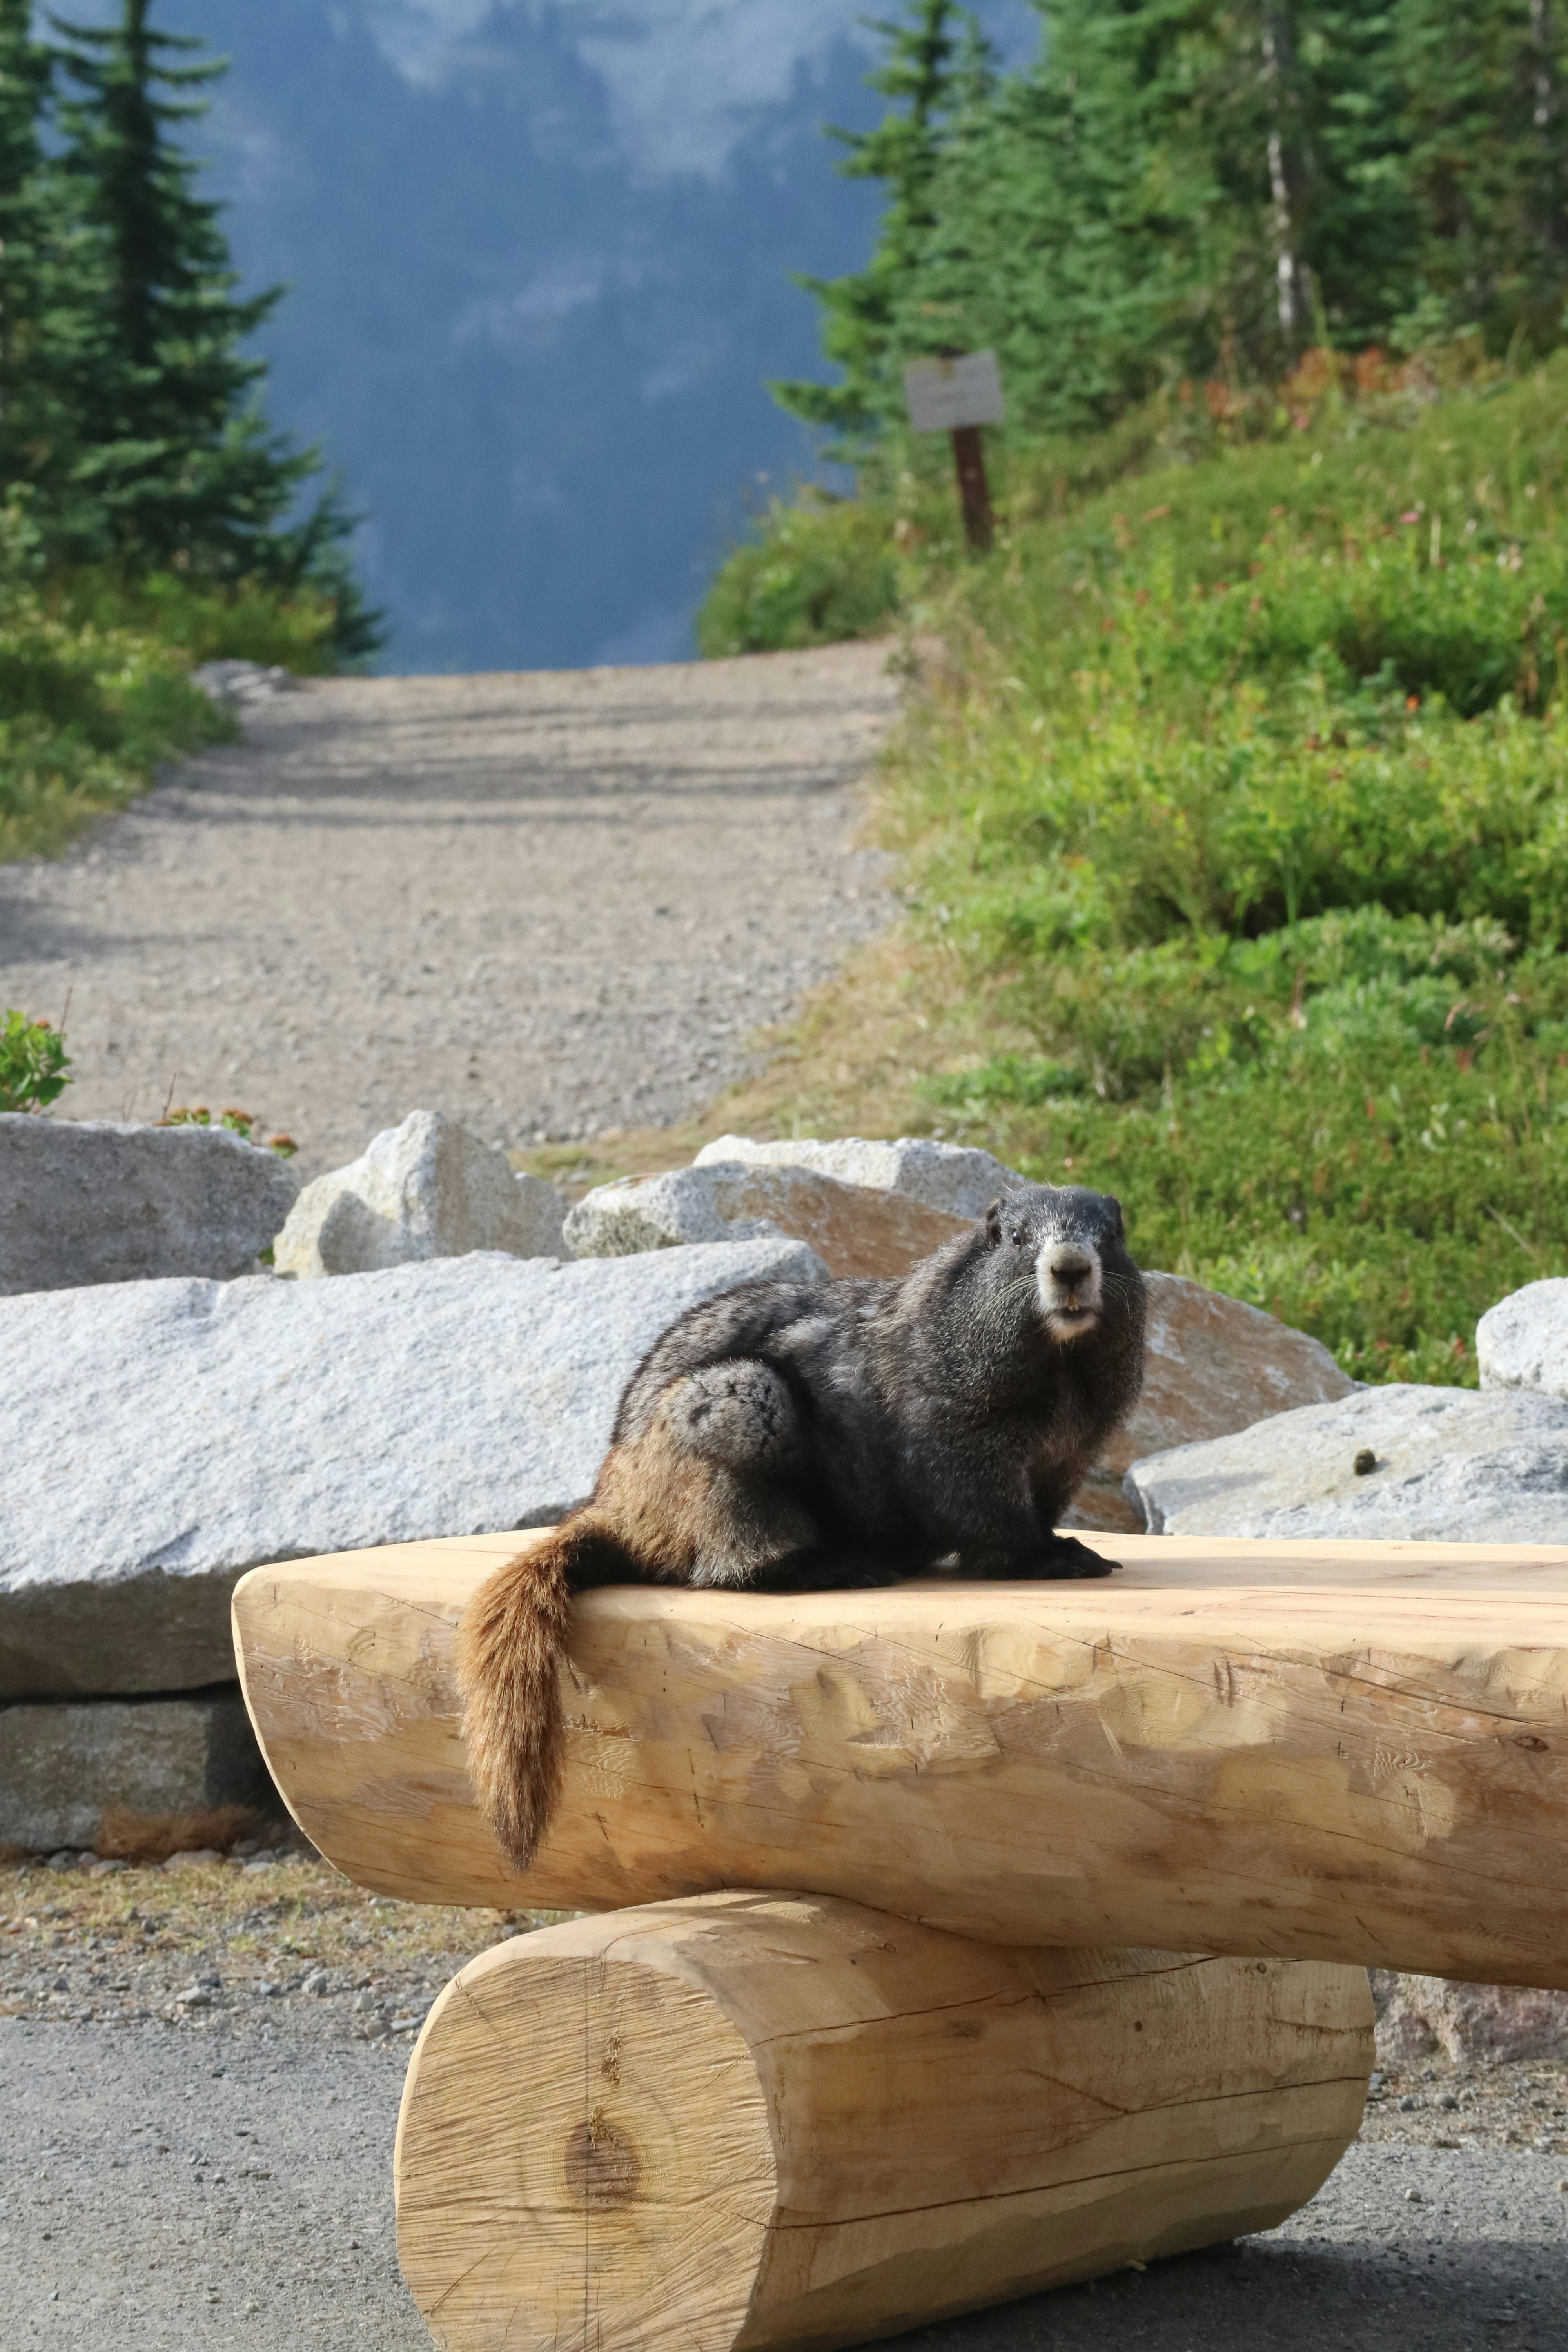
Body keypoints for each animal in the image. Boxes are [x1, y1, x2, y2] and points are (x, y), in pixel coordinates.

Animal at [459, 1181, 1146, 1872]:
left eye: (1113, 1234)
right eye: (1015, 1238)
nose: (1071, 1265)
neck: (1060, 1366)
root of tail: (614, 1510)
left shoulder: (1074, 1444)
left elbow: (1045, 1489)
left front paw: (1062, 1542)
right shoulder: (953, 1408)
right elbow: (975, 1488)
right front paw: (1057, 1555)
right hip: (735, 1412)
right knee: (734, 1552)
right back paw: (835, 1565)